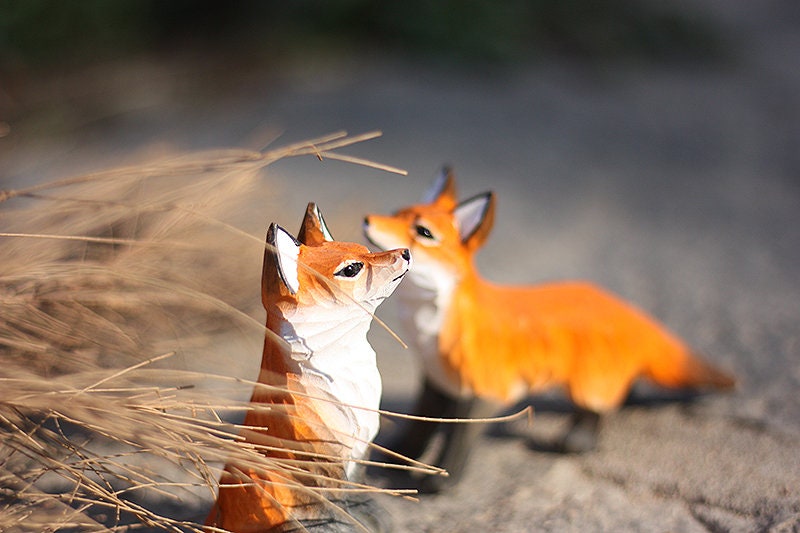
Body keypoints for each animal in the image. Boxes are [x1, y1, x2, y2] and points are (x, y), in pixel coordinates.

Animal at [206, 203, 410, 532]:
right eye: (352, 269)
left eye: (367, 250)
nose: (405, 252)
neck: (349, 371)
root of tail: (214, 517)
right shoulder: (320, 457)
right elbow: (331, 503)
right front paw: (341, 525)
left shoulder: (361, 447)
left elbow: (357, 491)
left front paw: (369, 515)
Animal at [363, 168, 735, 493]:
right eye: (397, 214)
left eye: (423, 232)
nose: (368, 220)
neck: (430, 334)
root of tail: (622, 304)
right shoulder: (438, 382)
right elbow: (418, 428)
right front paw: (396, 461)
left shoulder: (486, 391)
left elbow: (457, 443)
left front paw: (440, 482)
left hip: (587, 384)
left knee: (594, 413)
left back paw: (576, 441)